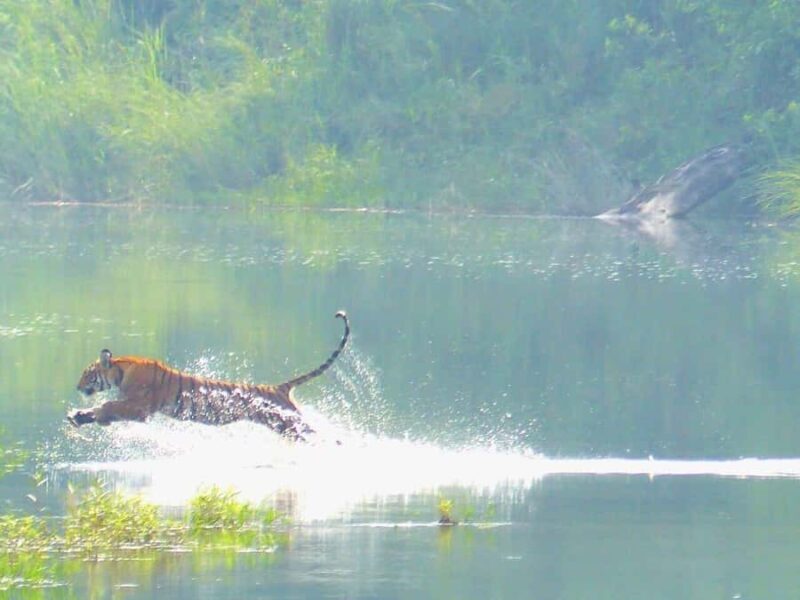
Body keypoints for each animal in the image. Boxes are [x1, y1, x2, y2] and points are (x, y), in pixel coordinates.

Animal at [67, 311, 349, 442]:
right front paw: (78, 417)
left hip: (287, 423)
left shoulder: (139, 407)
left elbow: (109, 405)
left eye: (87, 374)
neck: (121, 371)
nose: (77, 386)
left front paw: (94, 416)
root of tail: (280, 387)